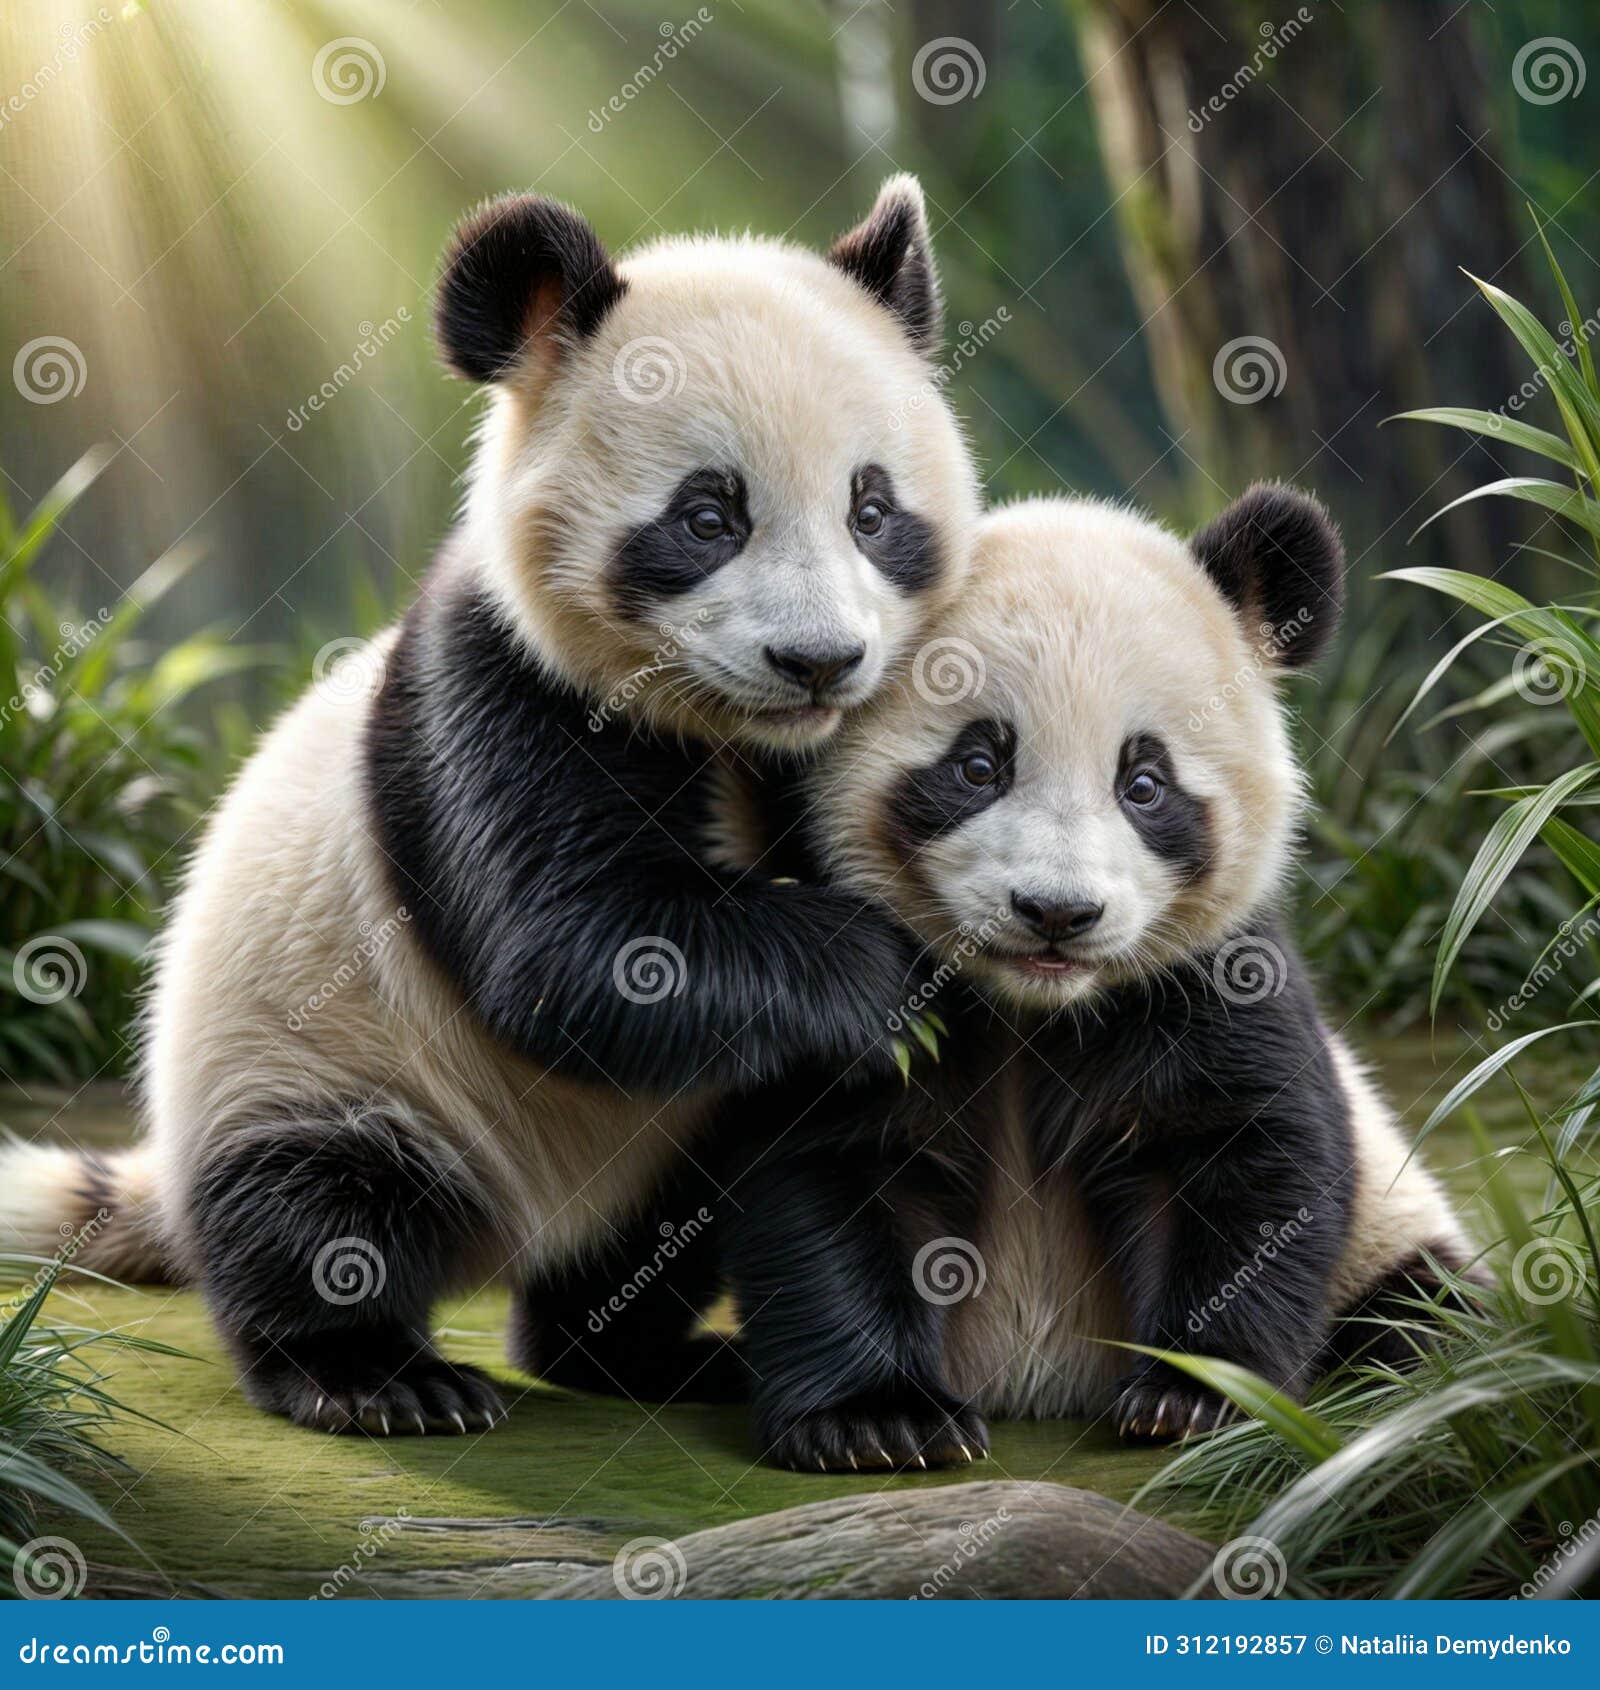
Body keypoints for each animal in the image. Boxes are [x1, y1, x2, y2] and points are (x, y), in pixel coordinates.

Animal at [0, 176, 981, 1436]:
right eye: (707, 517)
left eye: (871, 509)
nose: (818, 661)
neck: (727, 735)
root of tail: (519, 1232)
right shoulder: (493, 684)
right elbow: (571, 951)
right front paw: (888, 974)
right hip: (313, 1059)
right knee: (315, 1213)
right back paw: (377, 1375)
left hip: (665, 1137)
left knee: (663, 1223)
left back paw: (643, 1352)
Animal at [706, 486, 1476, 1471]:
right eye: (979, 766)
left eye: (1144, 784)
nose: (1057, 913)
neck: (1036, 1012)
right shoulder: (858, 998)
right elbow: (829, 1169)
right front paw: (878, 1420)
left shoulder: (1212, 981)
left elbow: (1254, 1159)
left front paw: (1193, 1396)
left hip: (1394, 1233)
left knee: (1424, 1314)